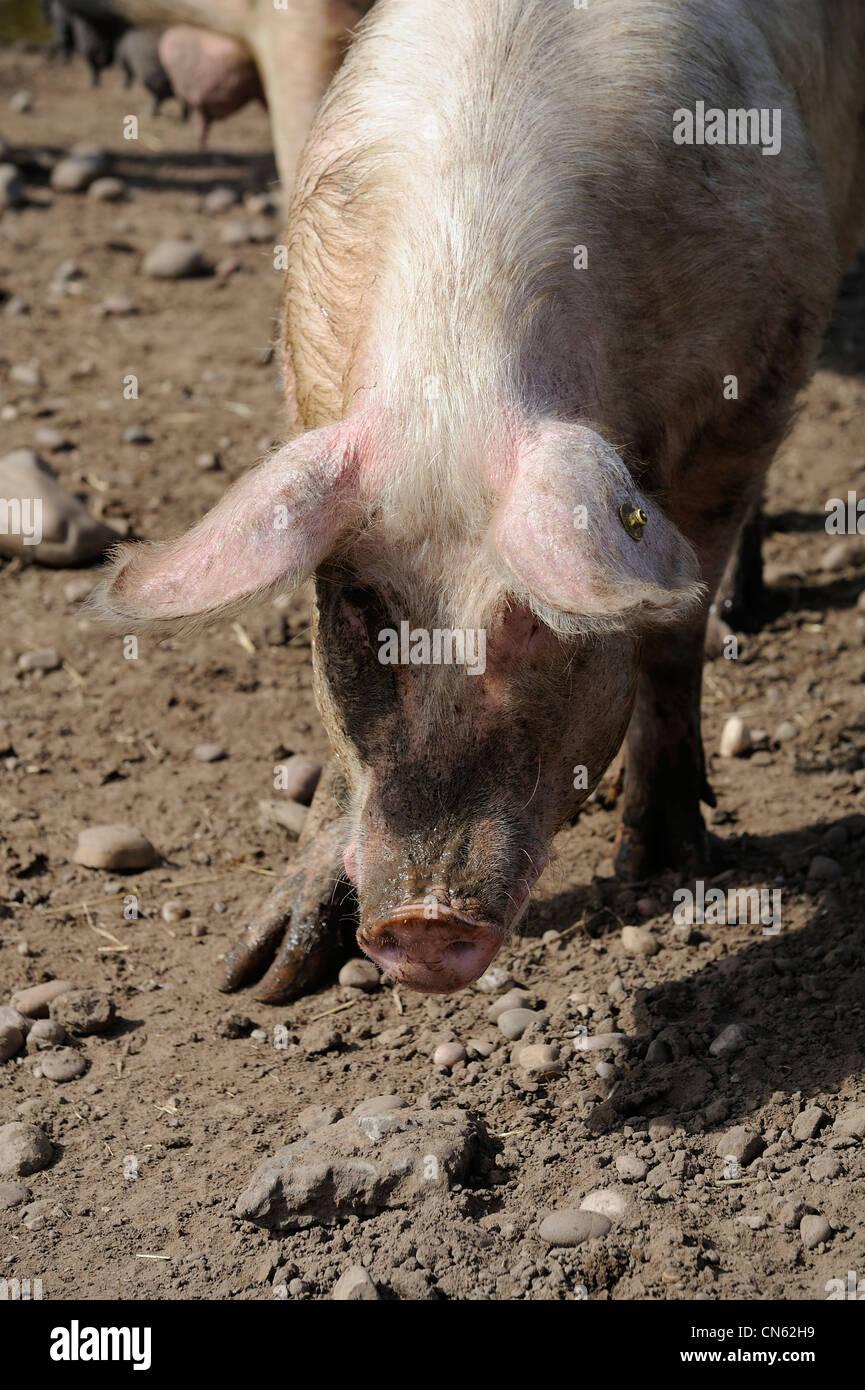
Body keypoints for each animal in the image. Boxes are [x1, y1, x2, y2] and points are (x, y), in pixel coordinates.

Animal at [99, 0, 865, 1000]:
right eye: (357, 608)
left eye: (531, 618)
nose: (422, 923)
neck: (453, 372)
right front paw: (262, 974)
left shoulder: (757, 375)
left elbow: (668, 637)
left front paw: (660, 871)